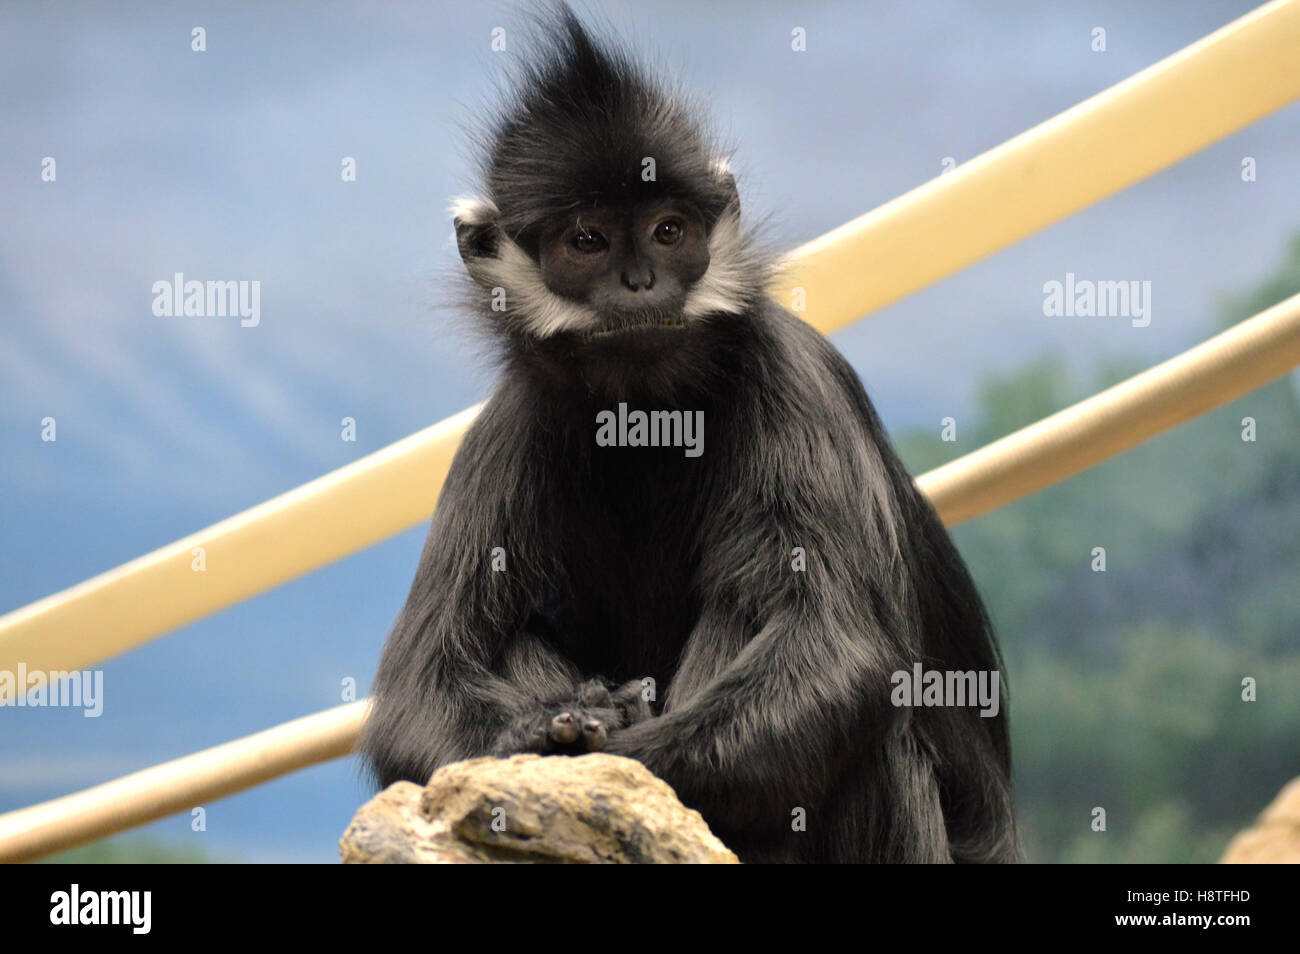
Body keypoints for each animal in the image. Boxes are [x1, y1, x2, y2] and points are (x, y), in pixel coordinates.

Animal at [360, 5, 1018, 864]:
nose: (642, 283)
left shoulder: (794, 378)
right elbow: (417, 695)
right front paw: (541, 735)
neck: (652, 418)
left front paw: (608, 746)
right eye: (588, 241)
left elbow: (842, 653)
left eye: (669, 230)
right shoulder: (510, 427)